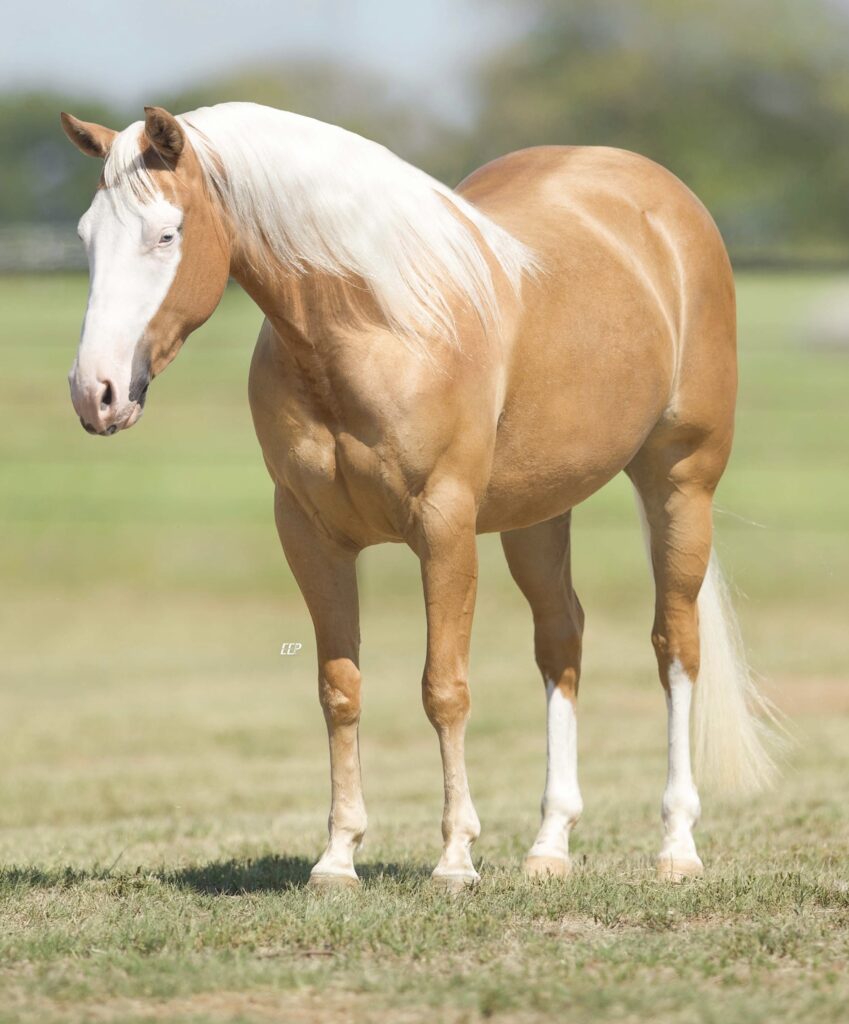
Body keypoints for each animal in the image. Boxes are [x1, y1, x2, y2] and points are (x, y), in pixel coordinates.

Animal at [60, 101, 775, 889]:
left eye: (167, 234)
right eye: (87, 237)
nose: (95, 393)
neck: (375, 326)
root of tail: (664, 201)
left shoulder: (444, 527)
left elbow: (444, 688)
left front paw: (456, 857)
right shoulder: (310, 535)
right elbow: (339, 690)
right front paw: (338, 857)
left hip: (679, 480)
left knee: (674, 645)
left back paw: (677, 846)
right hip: (539, 511)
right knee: (561, 642)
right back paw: (548, 847)